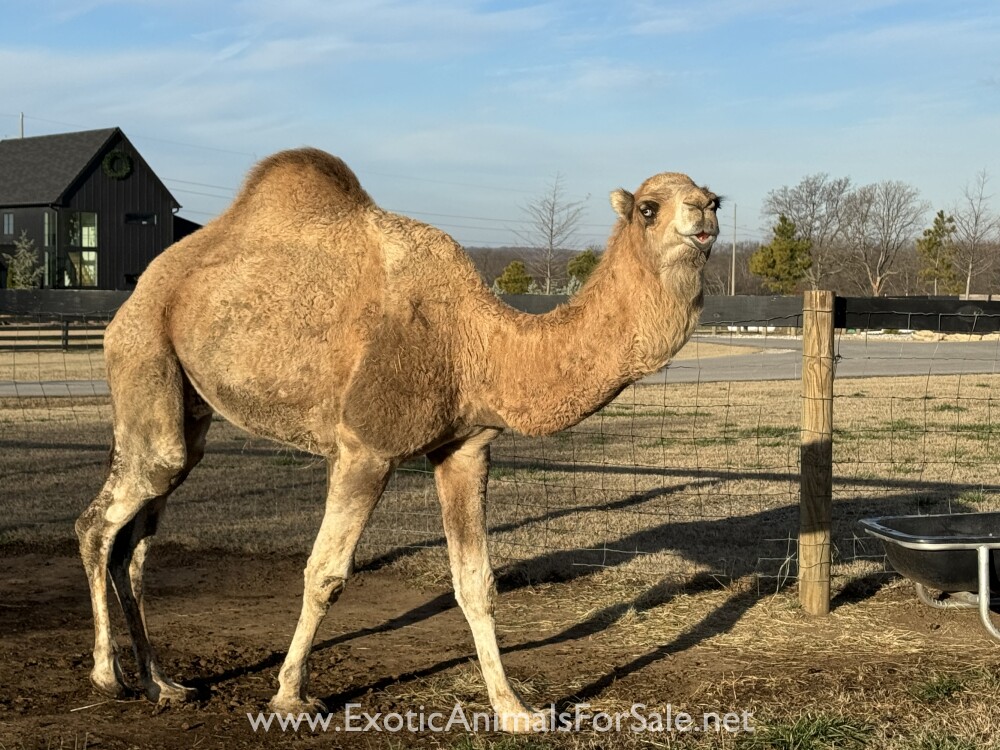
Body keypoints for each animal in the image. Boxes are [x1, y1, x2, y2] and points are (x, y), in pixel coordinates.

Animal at [76, 148, 719, 732]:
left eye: (712, 194)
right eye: (648, 207)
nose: (705, 211)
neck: (478, 343)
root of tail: (137, 295)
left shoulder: (464, 448)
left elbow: (476, 582)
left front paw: (516, 711)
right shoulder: (367, 446)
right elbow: (326, 573)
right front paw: (290, 697)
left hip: (190, 408)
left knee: (138, 539)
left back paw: (162, 684)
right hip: (145, 357)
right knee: (102, 520)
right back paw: (108, 677)